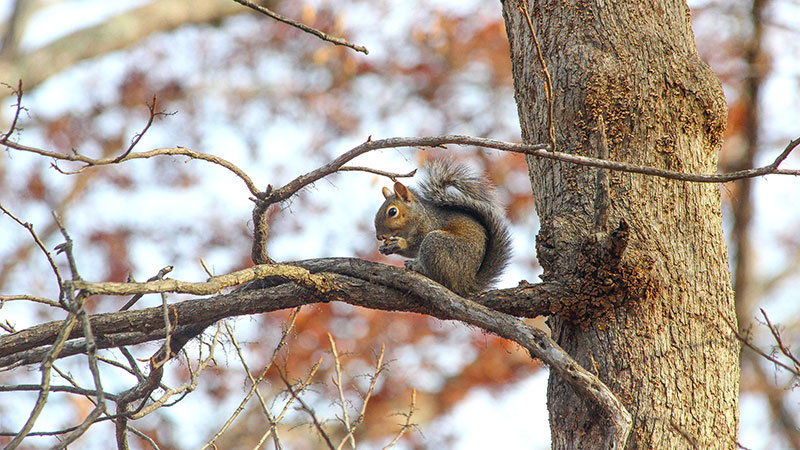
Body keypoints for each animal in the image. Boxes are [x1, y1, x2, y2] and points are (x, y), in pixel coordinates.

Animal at [374, 161, 512, 296]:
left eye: (392, 212)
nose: (379, 236)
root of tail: (466, 283)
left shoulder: (428, 225)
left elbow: (415, 246)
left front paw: (399, 244)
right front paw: (385, 248)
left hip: (437, 244)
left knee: (441, 279)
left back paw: (418, 267)